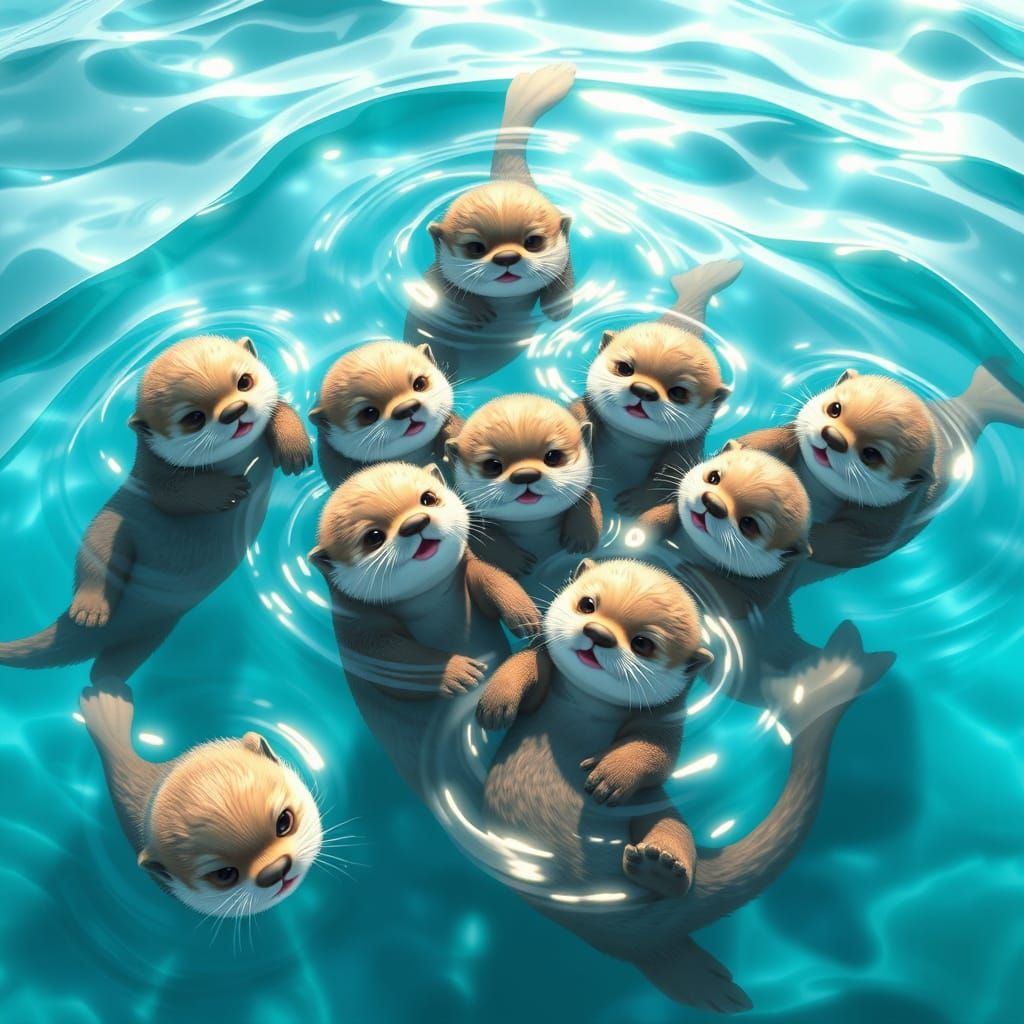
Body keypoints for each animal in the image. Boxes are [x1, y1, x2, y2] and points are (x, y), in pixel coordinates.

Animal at [0, 334, 312, 683]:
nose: (235, 410)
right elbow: (171, 493)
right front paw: (228, 491)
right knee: (96, 559)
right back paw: (89, 611)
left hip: (153, 633)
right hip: (108, 525)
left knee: (109, 666)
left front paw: (294, 447)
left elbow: (280, 408)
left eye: (244, 381)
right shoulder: (151, 476)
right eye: (194, 418)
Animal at [309, 460, 541, 795]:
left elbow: (490, 577)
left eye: (428, 498)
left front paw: (524, 614)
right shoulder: (358, 632)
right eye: (373, 536)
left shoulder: (467, 571)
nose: (415, 523)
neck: (430, 604)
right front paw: (459, 672)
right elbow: (394, 660)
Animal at [404, 63, 577, 379]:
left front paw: (557, 308)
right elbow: (441, 290)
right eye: (475, 248)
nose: (506, 257)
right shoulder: (432, 281)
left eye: (533, 242)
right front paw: (474, 310)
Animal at [571, 260, 741, 515]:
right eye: (624, 368)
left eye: (678, 392)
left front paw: (633, 502)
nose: (643, 390)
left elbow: (672, 480)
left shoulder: (688, 449)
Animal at [738, 362, 1024, 584]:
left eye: (871, 454)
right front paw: (744, 448)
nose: (833, 437)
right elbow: (773, 440)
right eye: (835, 409)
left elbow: (848, 546)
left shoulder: (889, 519)